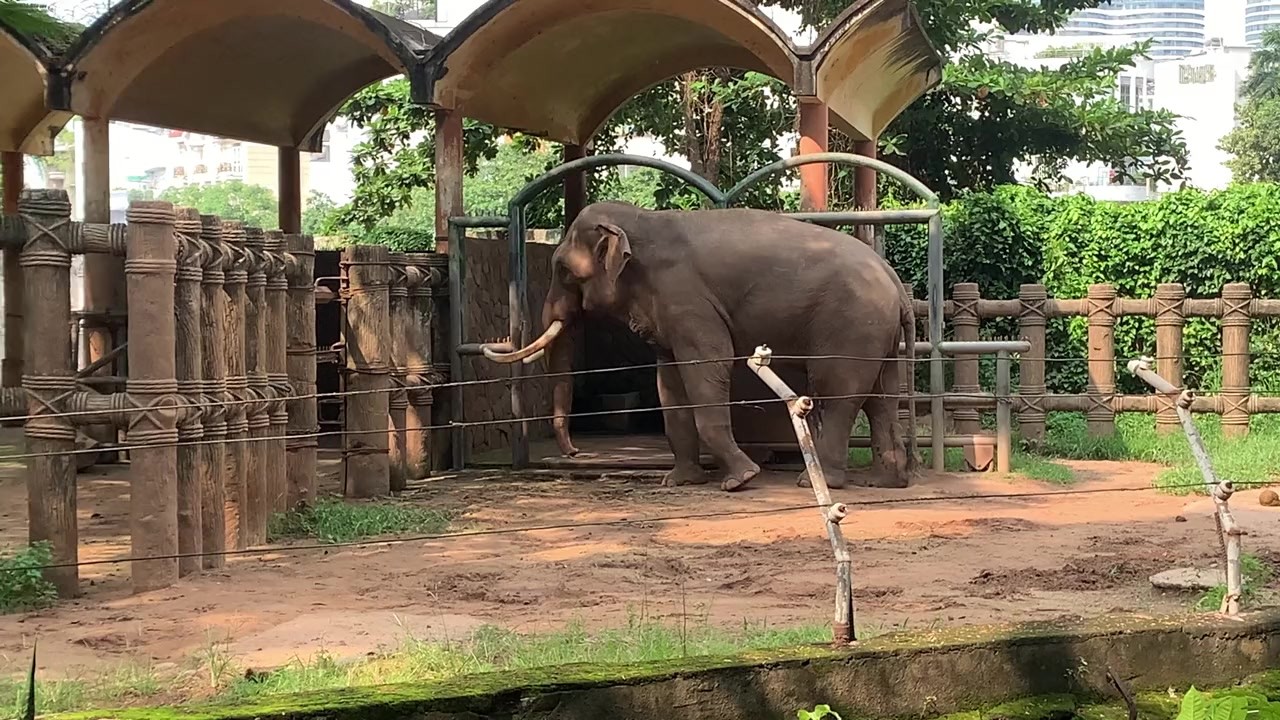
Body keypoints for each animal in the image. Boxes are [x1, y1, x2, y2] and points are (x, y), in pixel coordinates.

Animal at [483, 201, 918, 491]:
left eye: (562, 270)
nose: (574, 453)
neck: (643, 220)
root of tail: (895, 280)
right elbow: (669, 382)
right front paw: (679, 482)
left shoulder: (687, 298)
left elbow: (709, 366)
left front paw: (740, 480)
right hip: (876, 332)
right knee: (881, 398)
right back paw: (885, 481)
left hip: (851, 323)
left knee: (840, 393)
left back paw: (813, 481)